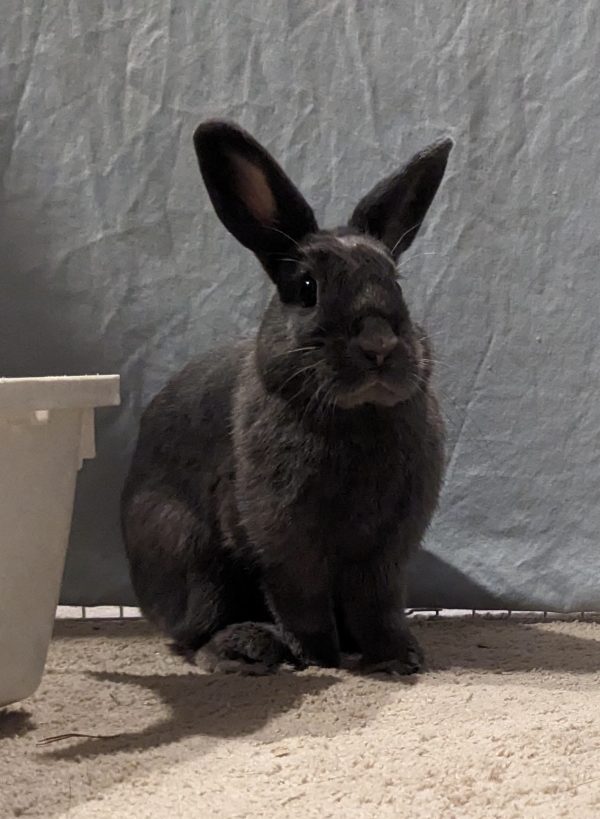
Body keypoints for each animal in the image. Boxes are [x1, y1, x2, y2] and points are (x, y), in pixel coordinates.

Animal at [121, 120, 452, 675]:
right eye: (306, 287)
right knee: (192, 630)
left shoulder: (385, 552)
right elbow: (302, 601)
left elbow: (378, 606)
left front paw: (399, 658)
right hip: (191, 556)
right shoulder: (283, 545)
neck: (357, 418)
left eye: (396, 282)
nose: (379, 345)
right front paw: (319, 660)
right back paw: (243, 650)